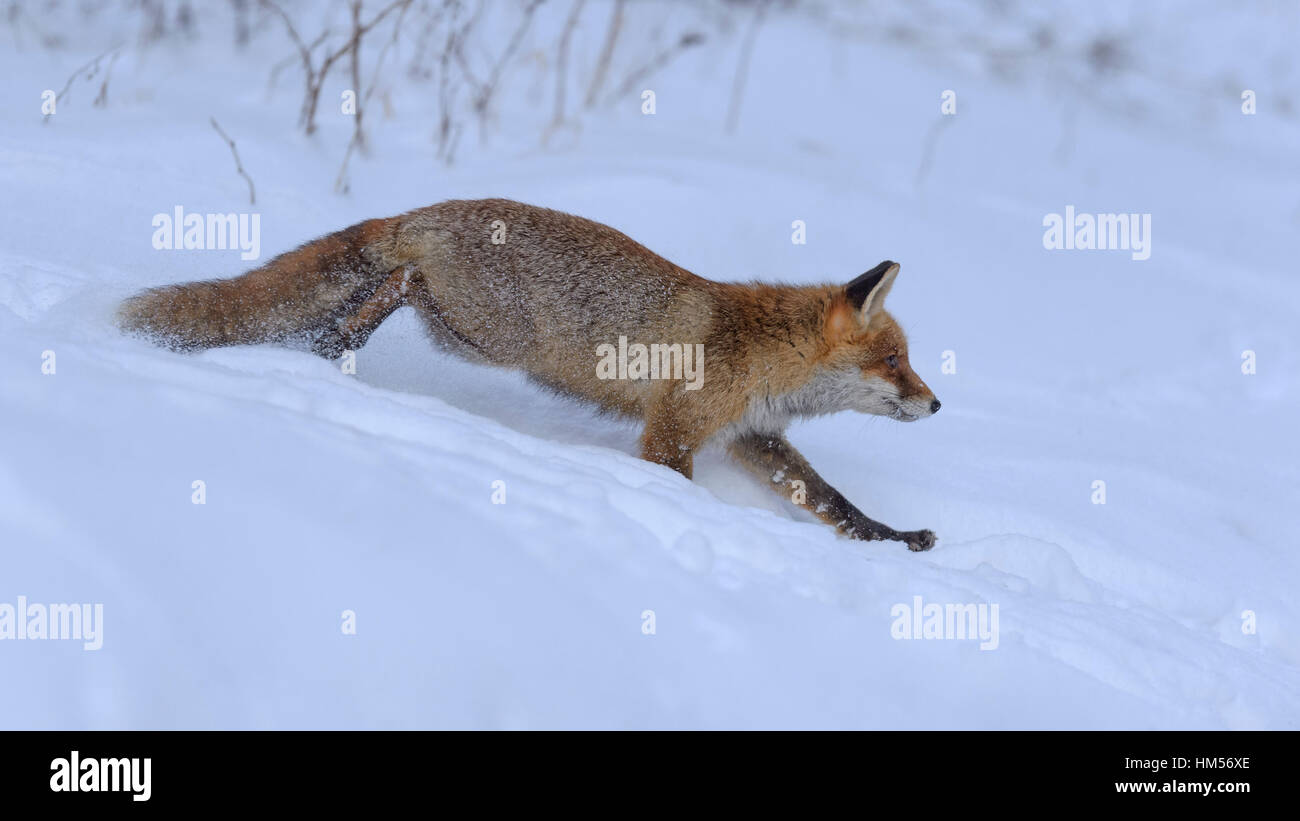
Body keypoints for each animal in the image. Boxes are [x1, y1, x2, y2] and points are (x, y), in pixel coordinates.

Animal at [118, 198, 941, 550]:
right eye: (894, 361)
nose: (936, 404)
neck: (766, 352)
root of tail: (430, 208)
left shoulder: (753, 438)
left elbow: (835, 502)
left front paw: (891, 538)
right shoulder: (672, 433)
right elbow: (677, 485)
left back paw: (331, 340)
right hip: (487, 335)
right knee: (404, 279)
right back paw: (340, 338)